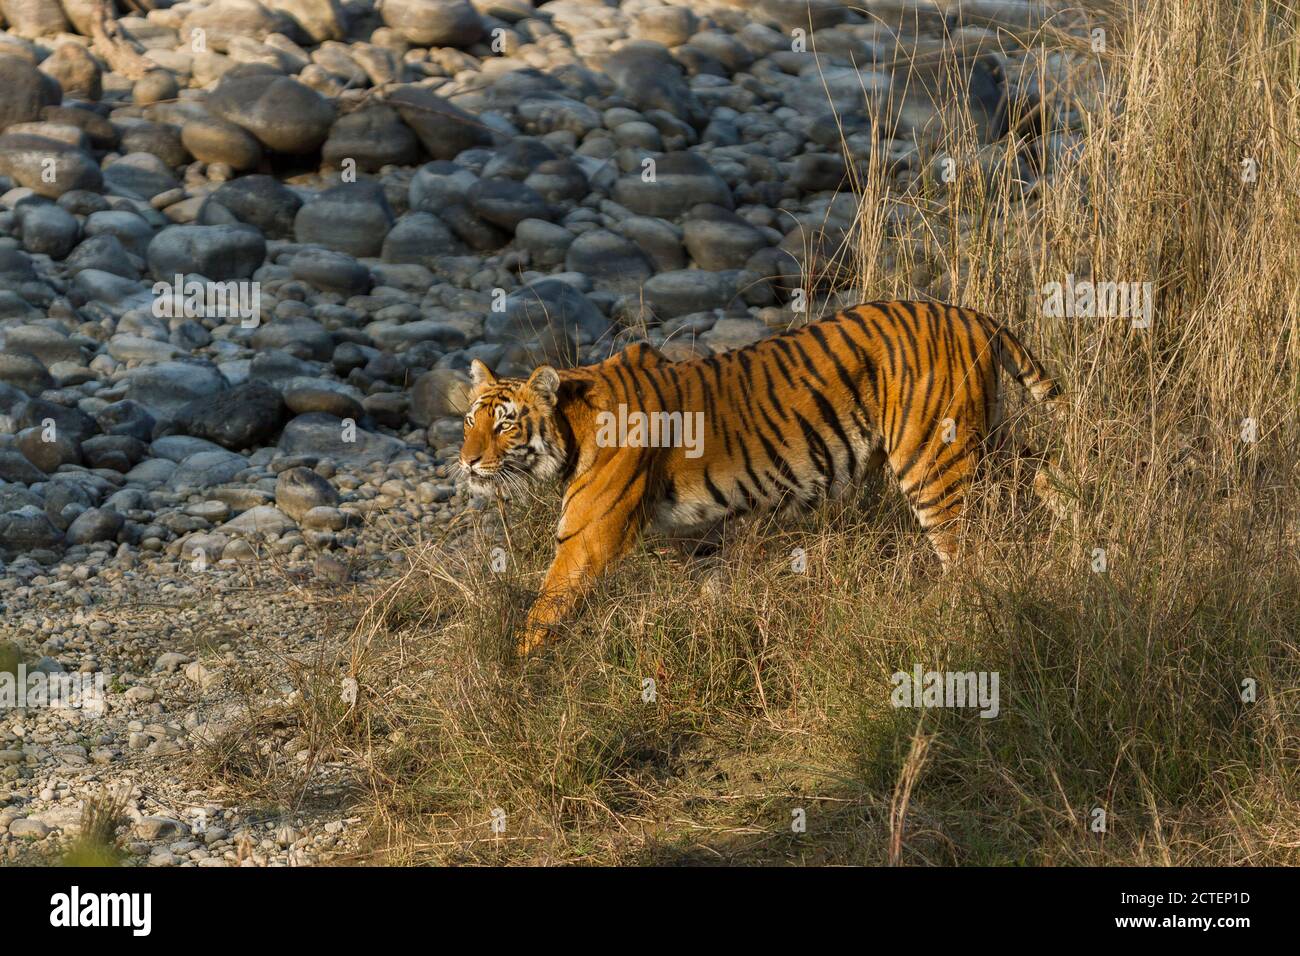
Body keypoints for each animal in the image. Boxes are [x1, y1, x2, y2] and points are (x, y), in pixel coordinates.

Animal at [458, 300, 1061, 657]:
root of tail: (973, 315)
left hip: (934, 458)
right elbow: (709, 588)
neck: (573, 425)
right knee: (1037, 466)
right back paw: (1069, 516)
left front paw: (518, 676)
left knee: (966, 550)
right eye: (469, 420)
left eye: (505, 424)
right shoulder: (697, 532)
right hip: (982, 439)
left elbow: (546, 606)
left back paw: (963, 622)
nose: (465, 462)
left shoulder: (589, 534)